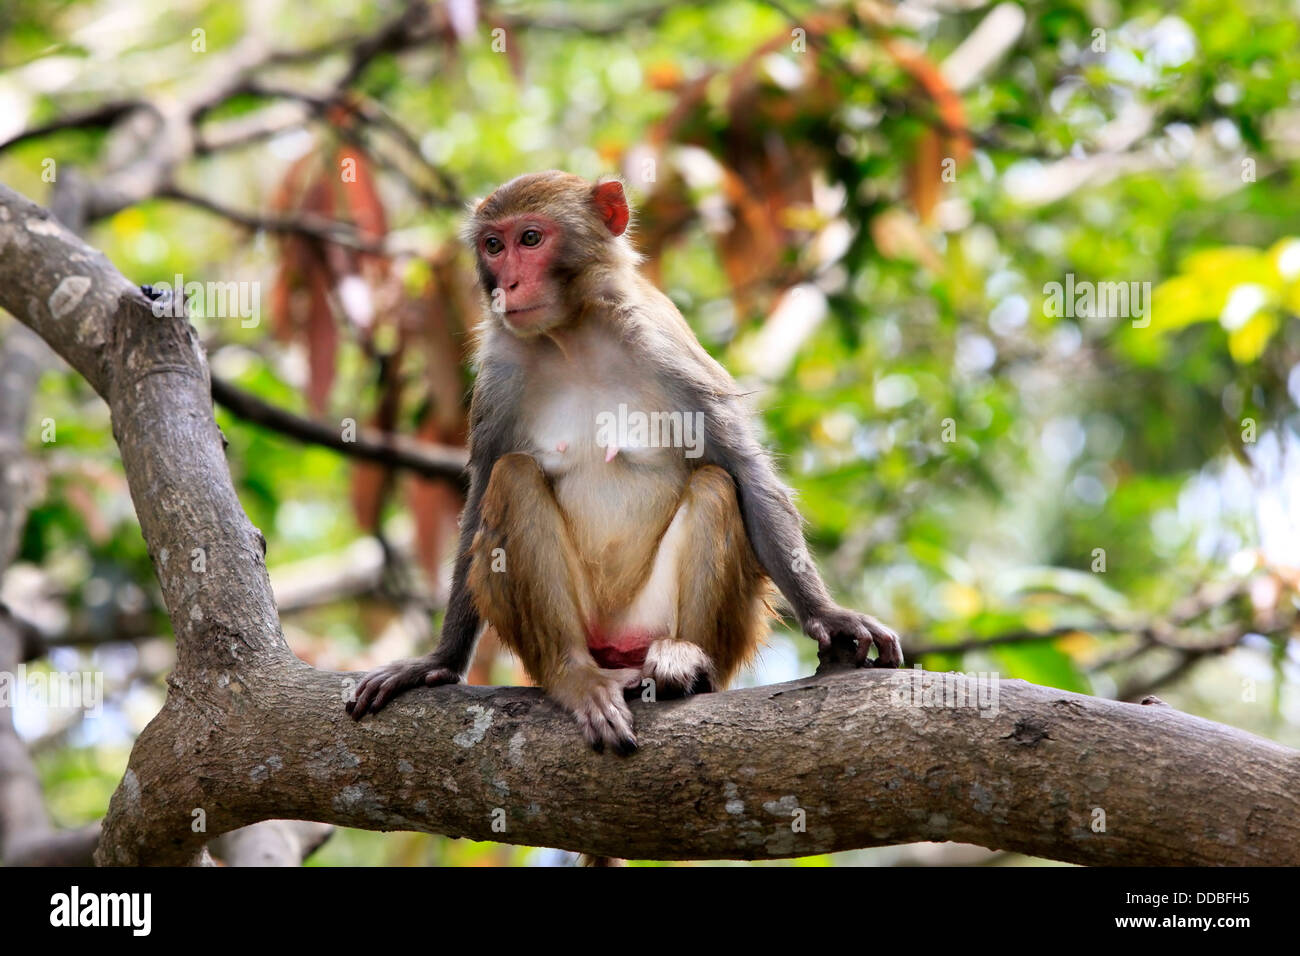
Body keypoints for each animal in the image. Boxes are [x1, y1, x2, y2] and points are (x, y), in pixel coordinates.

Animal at [347, 171, 901, 753]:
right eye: (493, 246)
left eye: (530, 239)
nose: (508, 285)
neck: (573, 334)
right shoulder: (499, 369)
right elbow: (479, 499)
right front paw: (439, 660)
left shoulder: (665, 346)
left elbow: (745, 471)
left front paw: (829, 616)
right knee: (513, 476)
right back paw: (577, 677)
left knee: (715, 485)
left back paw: (683, 664)